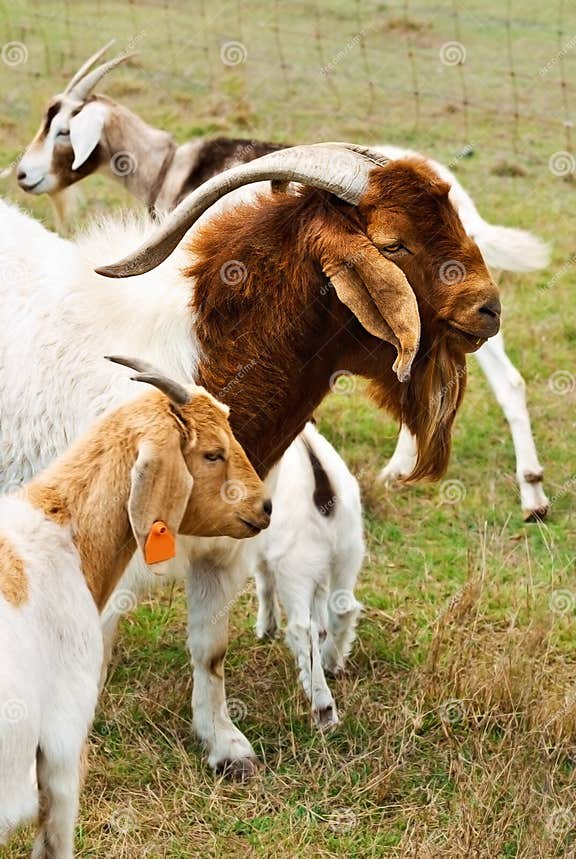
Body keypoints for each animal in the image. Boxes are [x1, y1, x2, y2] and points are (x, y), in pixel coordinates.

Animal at [254, 421, 364, 728]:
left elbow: (264, 582)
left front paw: (266, 628)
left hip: (295, 566)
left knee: (303, 628)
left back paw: (322, 707)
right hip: (349, 549)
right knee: (343, 607)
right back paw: (332, 662)